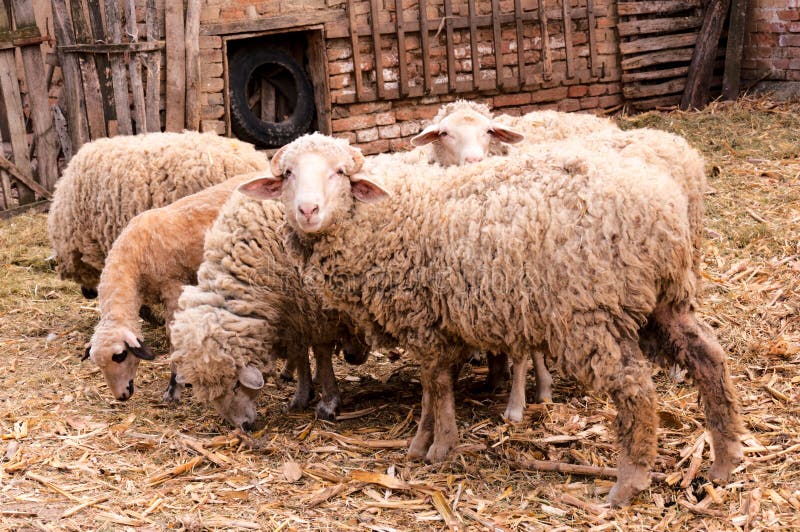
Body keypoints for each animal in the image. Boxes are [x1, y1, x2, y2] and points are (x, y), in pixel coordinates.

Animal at [85, 174, 262, 402]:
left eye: (120, 355)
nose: (121, 396)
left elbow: (173, 336)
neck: (134, 255)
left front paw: (174, 387)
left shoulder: (173, 286)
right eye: (97, 363)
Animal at [238, 133, 744, 507]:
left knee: (636, 389)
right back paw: (724, 460)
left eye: (340, 173)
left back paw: (628, 483)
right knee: (709, 358)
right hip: (666, 299)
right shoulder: (431, 324)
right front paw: (421, 445)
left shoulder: (422, 319)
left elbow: (438, 388)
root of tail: (664, 207)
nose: (307, 210)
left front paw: (440, 448)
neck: (383, 216)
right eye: (287, 174)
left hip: (589, 311)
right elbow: (430, 388)